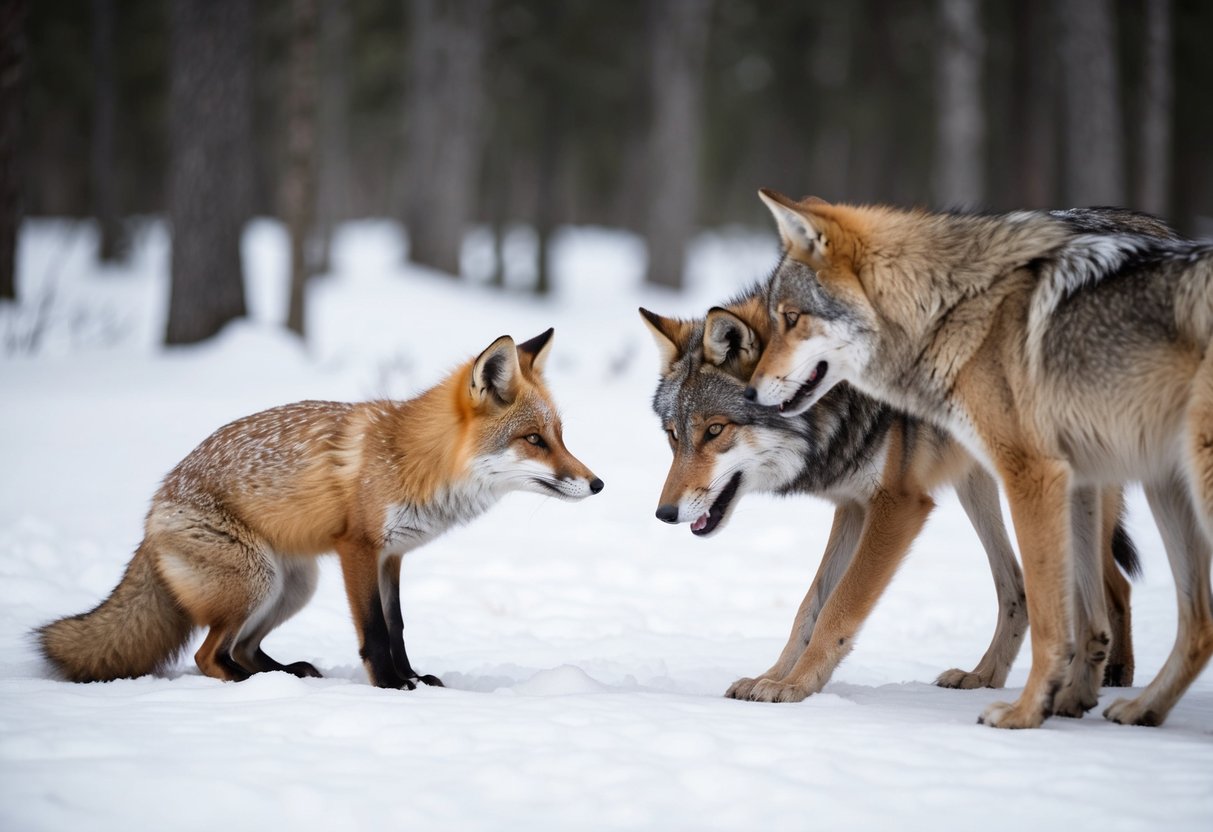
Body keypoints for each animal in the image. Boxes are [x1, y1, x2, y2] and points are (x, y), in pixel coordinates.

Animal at [37, 329, 603, 689]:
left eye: (559, 436)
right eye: (534, 440)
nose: (597, 484)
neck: (416, 459)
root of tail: (154, 506)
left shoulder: (393, 556)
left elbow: (398, 626)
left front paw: (413, 678)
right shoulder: (358, 548)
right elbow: (374, 629)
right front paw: (391, 686)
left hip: (292, 587)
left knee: (239, 648)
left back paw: (287, 674)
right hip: (257, 581)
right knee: (207, 656)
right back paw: (253, 685)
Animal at [642, 293, 1139, 703]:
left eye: (715, 430)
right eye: (673, 435)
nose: (663, 514)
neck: (836, 391)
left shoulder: (898, 505)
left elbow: (839, 609)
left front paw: (797, 686)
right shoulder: (854, 505)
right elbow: (810, 606)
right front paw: (773, 676)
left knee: (1113, 584)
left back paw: (1109, 680)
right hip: (978, 482)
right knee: (1017, 585)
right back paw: (984, 677)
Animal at [745, 189, 1210, 728]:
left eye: (791, 318)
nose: (752, 391)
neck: (949, 309)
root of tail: (1158, 227)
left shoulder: (1001, 479)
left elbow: (1052, 617)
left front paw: (1028, 712)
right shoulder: (864, 502)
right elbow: (813, 602)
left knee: (1115, 591)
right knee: (1150, 610)